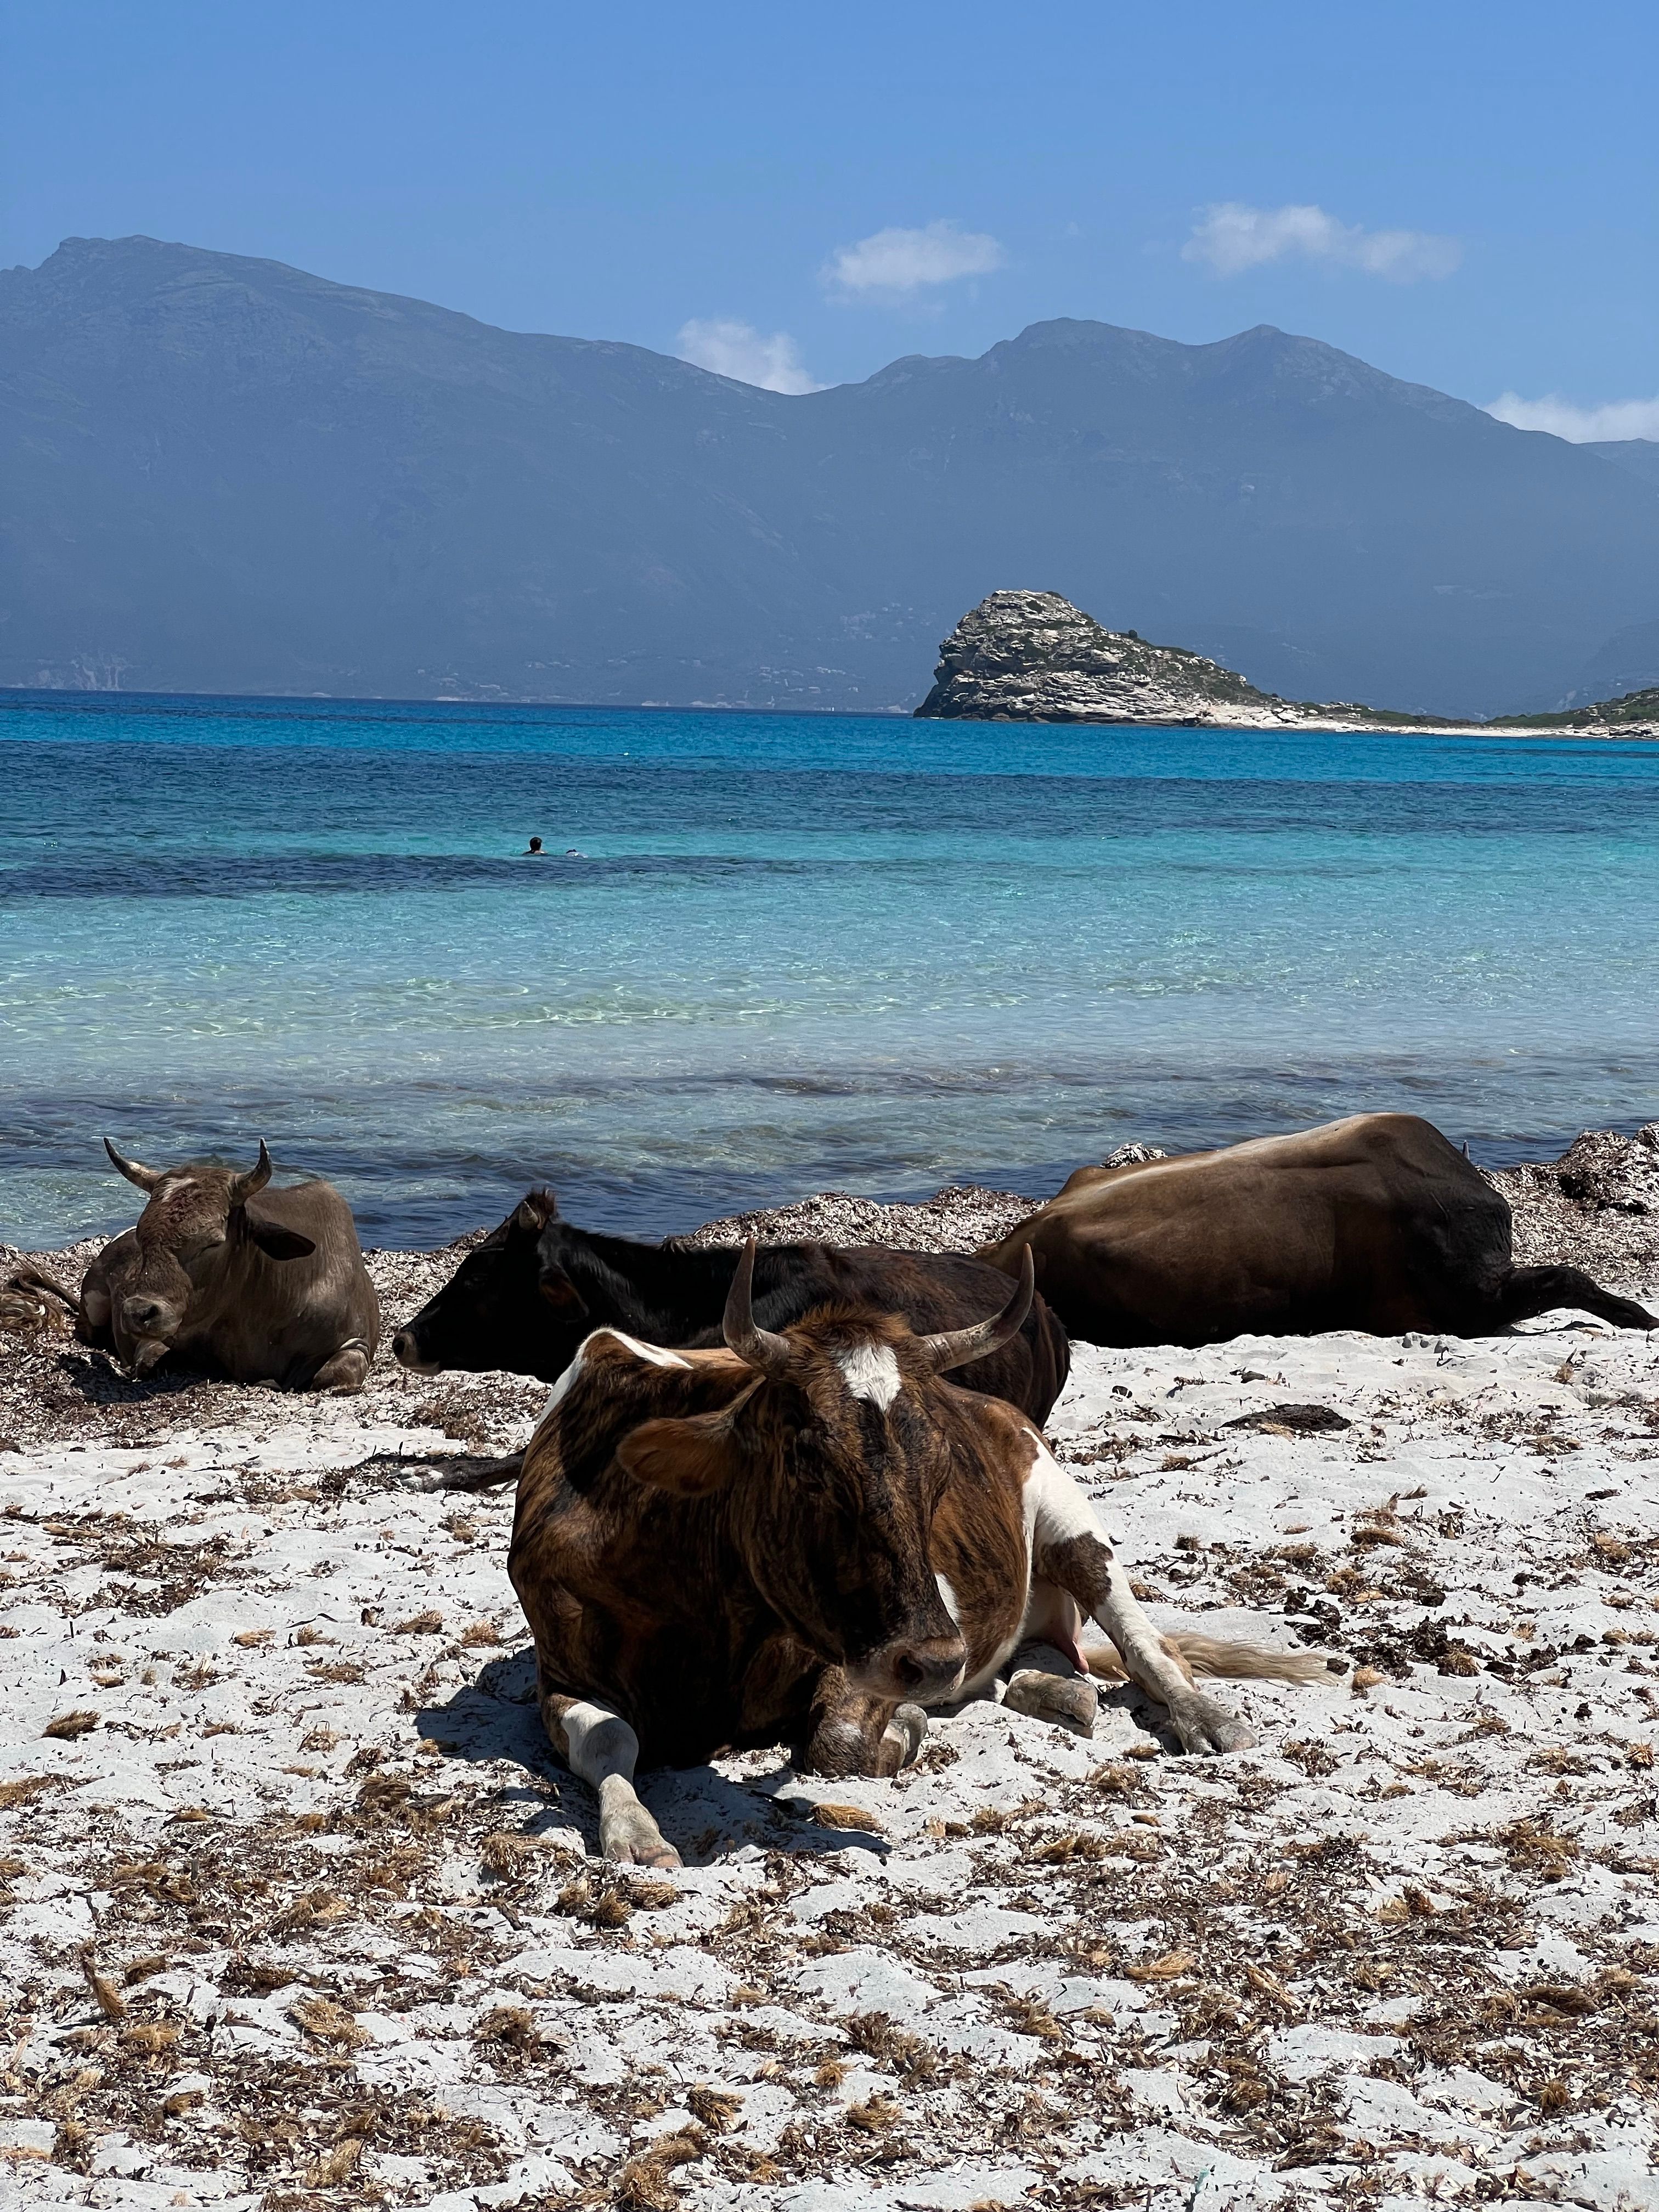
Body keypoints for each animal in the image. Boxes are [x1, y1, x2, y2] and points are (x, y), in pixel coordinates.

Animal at [79, 1139, 380, 1391]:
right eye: (143, 1236)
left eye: (212, 1243)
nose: (138, 1312)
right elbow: (151, 1361)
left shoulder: (356, 1343)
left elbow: (333, 1375)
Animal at [508, 1242, 1332, 1867]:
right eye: (809, 1467)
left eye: (942, 1470)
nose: (936, 1661)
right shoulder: (561, 1674)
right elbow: (612, 1739)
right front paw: (634, 1831)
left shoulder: (860, 1651)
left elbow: (840, 1741)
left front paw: (903, 1726)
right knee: (1030, 1665)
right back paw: (1054, 1691)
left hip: (1069, 1519)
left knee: (1145, 1641)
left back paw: (1200, 1714)